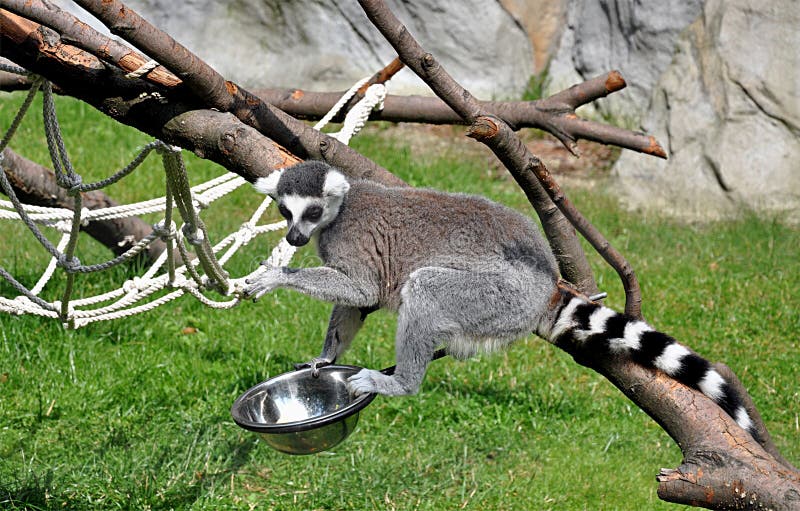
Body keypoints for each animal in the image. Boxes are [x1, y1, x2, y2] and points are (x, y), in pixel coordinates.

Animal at [244, 160, 759, 441]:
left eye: (311, 211)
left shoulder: (351, 242)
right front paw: (326, 357)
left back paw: (401, 383)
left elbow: (364, 290)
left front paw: (275, 276)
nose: (294, 236)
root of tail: (546, 283)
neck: (342, 210)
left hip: (496, 294)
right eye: (284, 211)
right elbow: (356, 306)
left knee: (425, 288)